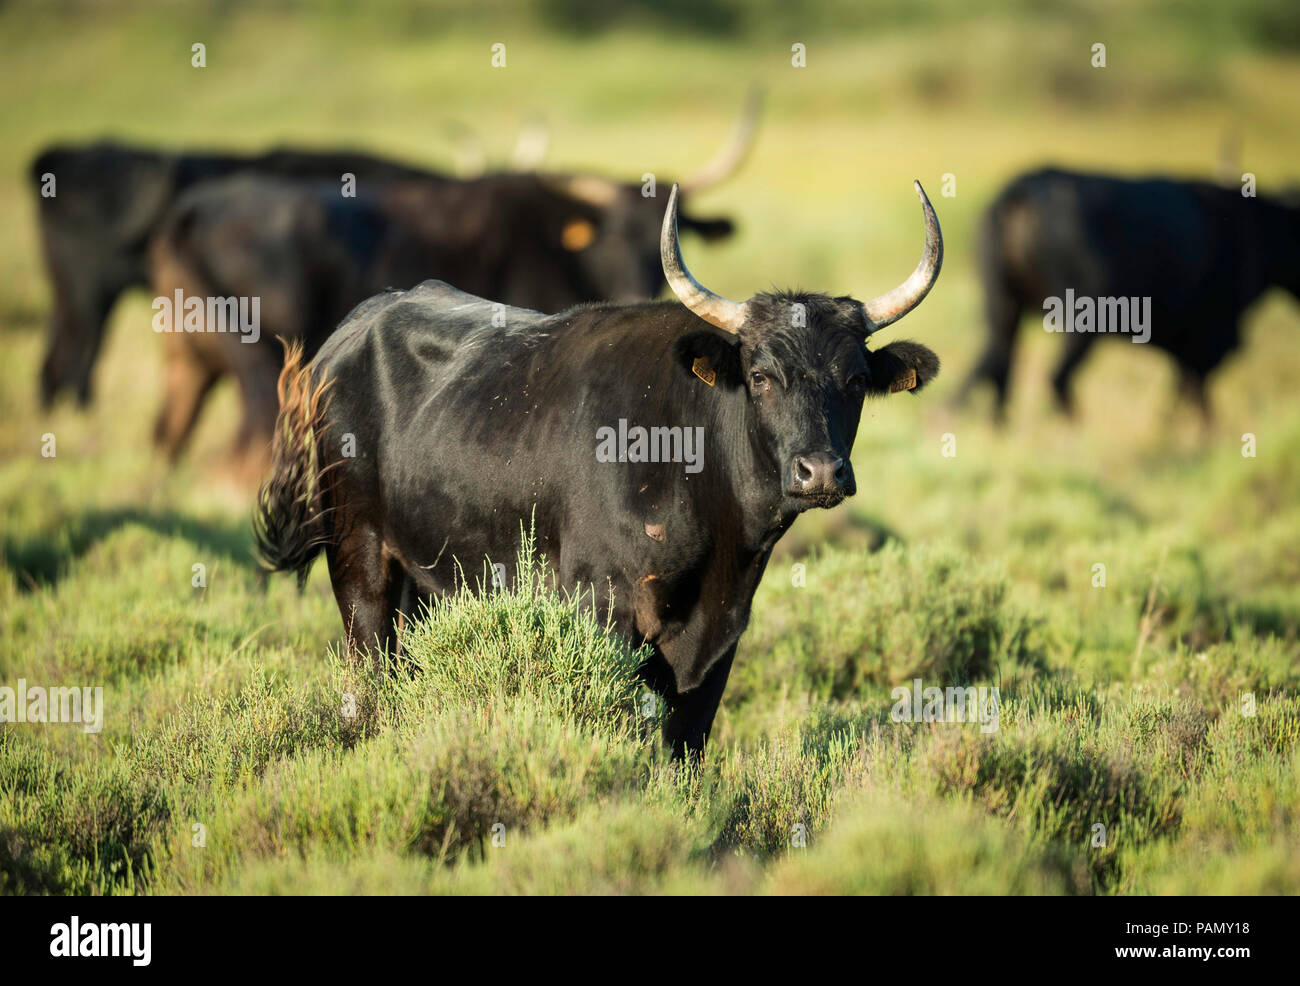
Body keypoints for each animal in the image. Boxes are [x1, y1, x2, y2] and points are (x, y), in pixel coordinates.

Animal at [253, 181, 943, 758]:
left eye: (855, 379)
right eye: (761, 375)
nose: (820, 472)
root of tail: (354, 328)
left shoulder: (718, 642)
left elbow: (685, 747)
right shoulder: (602, 609)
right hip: (360, 566)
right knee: (367, 684)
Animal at [955, 167, 1300, 421]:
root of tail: (1023, 187)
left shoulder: (1190, 344)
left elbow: (1181, 390)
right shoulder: (1212, 336)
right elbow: (1196, 393)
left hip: (1005, 309)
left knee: (1003, 371)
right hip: (1081, 322)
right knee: (1055, 378)